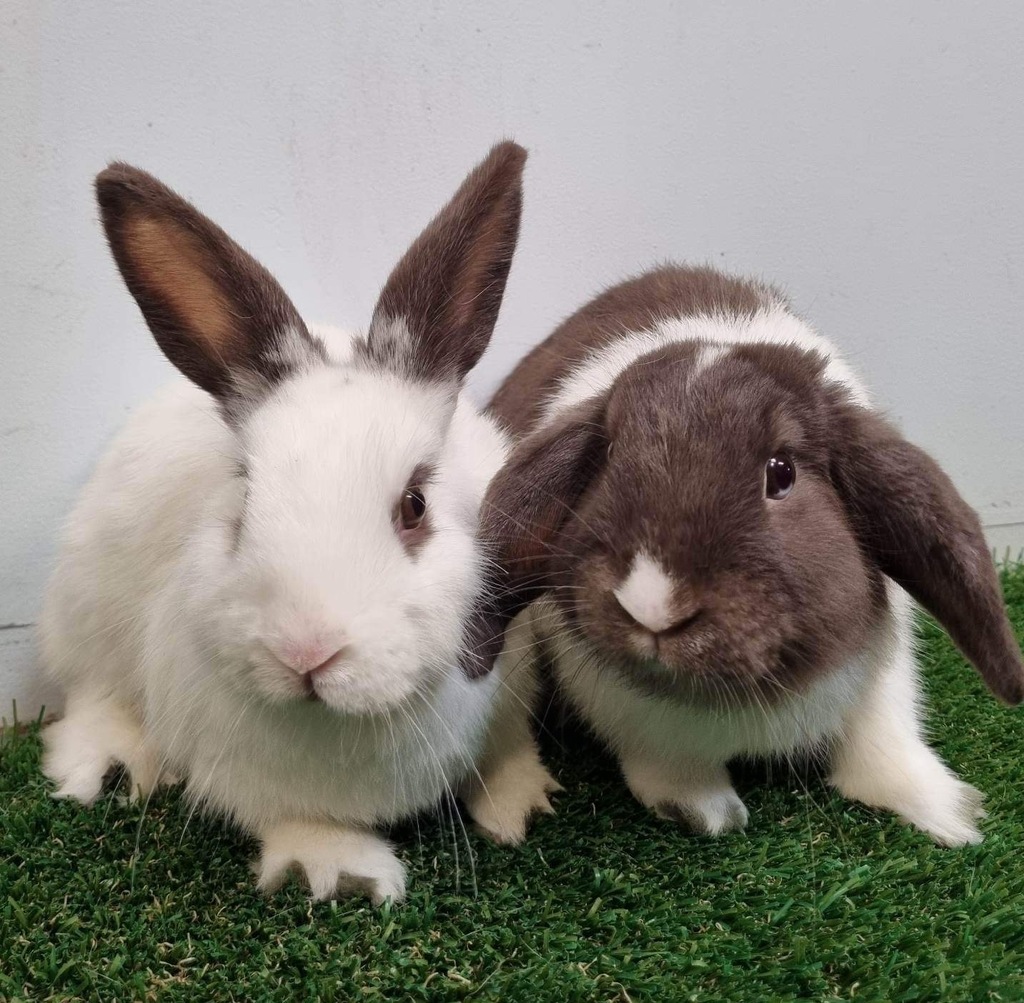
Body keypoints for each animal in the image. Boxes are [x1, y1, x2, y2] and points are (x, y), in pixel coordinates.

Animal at [38, 141, 560, 904]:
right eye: (244, 498)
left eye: (415, 505)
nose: (306, 651)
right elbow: (294, 820)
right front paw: (345, 868)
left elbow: (510, 750)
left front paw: (521, 805)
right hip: (86, 604)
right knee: (90, 691)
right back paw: (101, 764)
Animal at [462, 264, 1024, 846]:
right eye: (608, 456)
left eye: (782, 472)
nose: (652, 606)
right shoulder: (639, 722)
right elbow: (671, 770)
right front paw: (710, 815)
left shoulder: (881, 680)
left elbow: (883, 745)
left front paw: (955, 816)